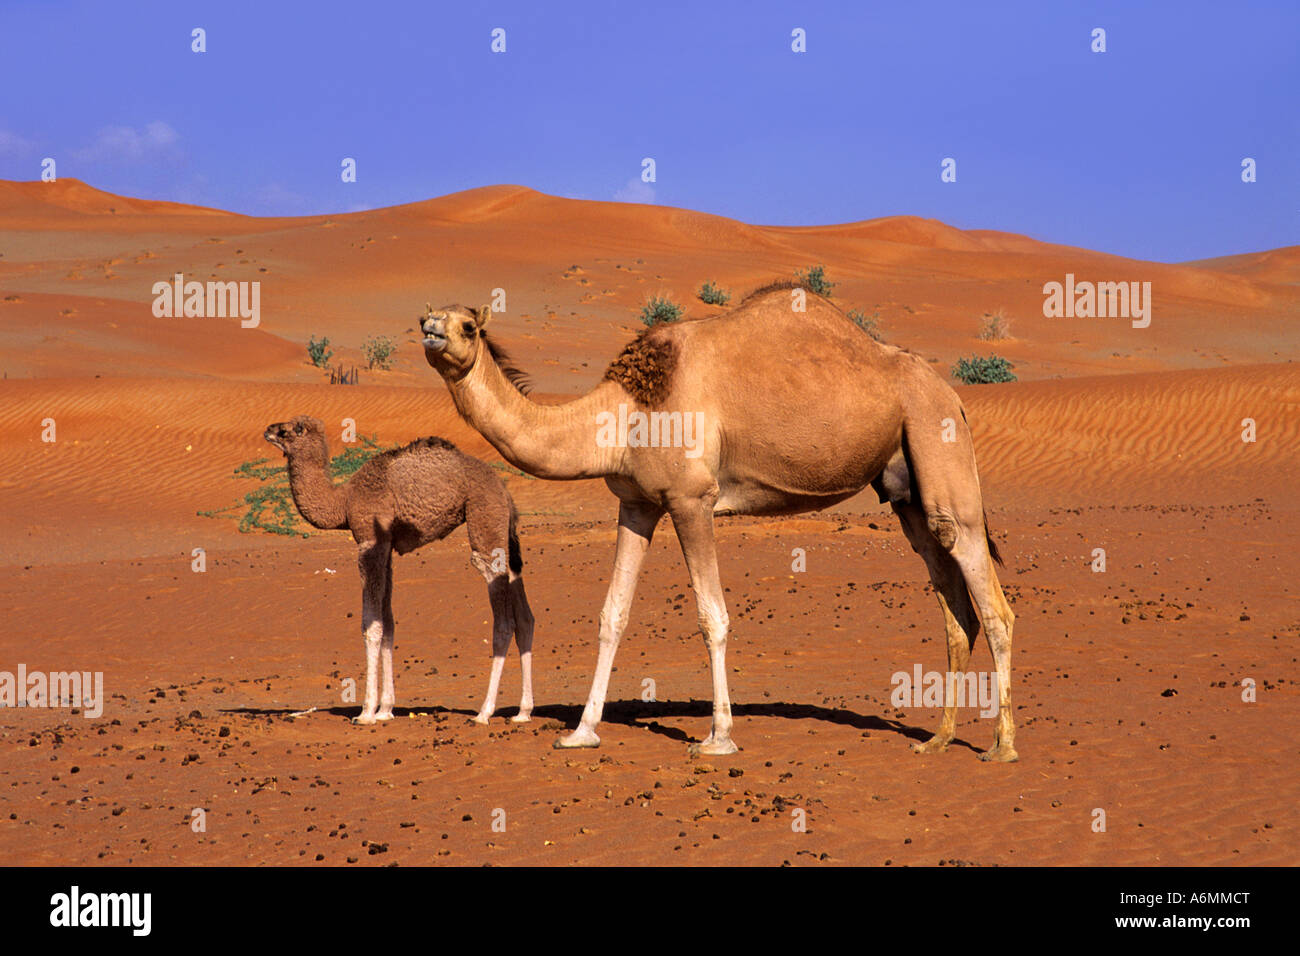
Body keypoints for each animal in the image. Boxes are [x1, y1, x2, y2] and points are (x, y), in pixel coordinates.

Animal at [263, 416, 535, 725]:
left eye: (292, 429)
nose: (269, 430)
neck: (344, 501)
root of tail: (505, 491)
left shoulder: (370, 541)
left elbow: (371, 625)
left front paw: (366, 712)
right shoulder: (387, 547)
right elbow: (388, 622)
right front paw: (385, 709)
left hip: (484, 520)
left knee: (503, 618)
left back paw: (483, 712)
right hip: (504, 533)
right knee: (524, 615)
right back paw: (523, 712)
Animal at [417, 283, 1016, 760]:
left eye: (467, 325)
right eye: (430, 315)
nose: (429, 331)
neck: (624, 411)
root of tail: (953, 393)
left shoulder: (692, 499)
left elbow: (712, 616)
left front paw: (718, 738)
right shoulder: (637, 503)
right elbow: (613, 614)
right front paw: (582, 732)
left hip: (937, 437)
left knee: (991, 600)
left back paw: (1002, 747)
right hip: (905, 488)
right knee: (954, 602)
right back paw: (937, 739)